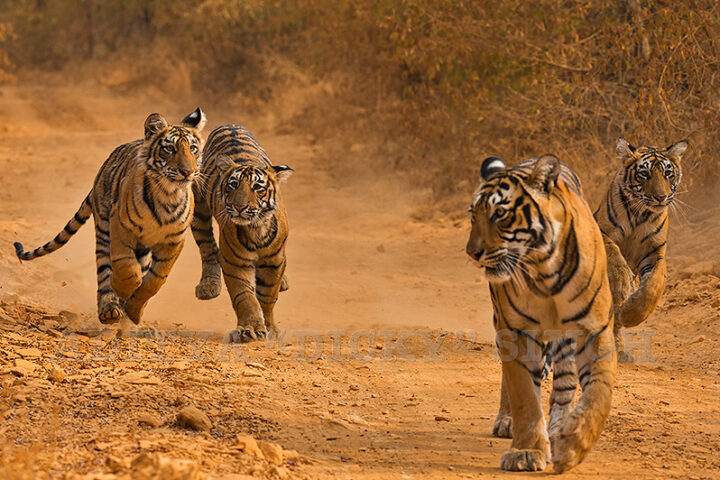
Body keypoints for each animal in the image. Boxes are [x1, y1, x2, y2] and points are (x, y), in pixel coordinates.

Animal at [13, 108, 206, 325]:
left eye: (193, 149)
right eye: (170, 149)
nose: (188, 172)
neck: (168, 194)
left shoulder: (174, 241)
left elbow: (155, 279)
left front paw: (134, 309)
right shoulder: (120, 225)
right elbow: (125, 266)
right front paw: (123, 289)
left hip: (142, 246)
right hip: (104, 229)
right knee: (105, 268)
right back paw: (109, 310)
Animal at [191, 124, 292, 343]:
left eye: (257, 187)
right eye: (233, 185)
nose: (239, 207)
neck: (257, 228)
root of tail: (229, 124)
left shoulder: (274, 262)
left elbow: (267, 296)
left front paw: (270, 328)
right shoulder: (234, 262)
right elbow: (244, 297)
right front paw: (250, 329)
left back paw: (284, 282)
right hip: (198, 210)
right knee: (207, 247)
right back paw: (208, 285)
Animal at [466, 155, 616, 472]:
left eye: (500, 213)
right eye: (473, 215)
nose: (472, 252)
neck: (544, 271)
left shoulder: (595, 330)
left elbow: (598, 394)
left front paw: (572, 444)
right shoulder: (516, 332)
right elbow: (524, 395)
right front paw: (526, 452)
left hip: (564, 340)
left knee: (565, 384)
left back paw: (559, 427)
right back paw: (507, 421)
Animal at [594, 138, 687, 362]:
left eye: (668, 173)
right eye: (644, 174)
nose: (660, 197)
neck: (640, 215)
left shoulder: (655, 253)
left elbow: (653, 287)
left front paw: (630, 313)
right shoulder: (602, 231)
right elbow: (613, 253)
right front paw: (622, 283)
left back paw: (620, 351)